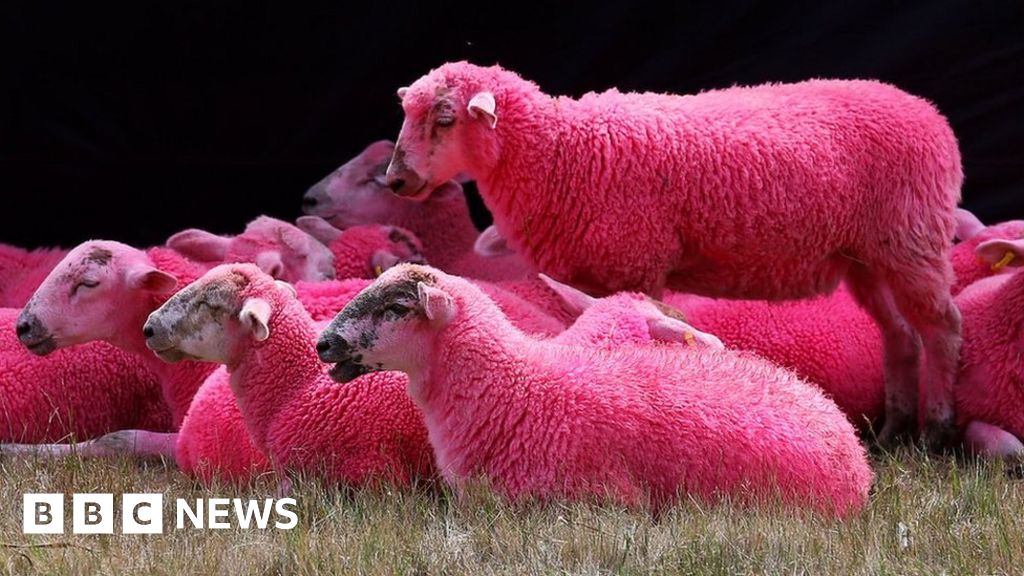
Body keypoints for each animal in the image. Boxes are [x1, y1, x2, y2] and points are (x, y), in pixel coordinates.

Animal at [384, 61, 964, 450]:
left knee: (941, 327)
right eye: (407, 114)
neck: (557, 150)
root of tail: (928, 113)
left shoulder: (637, 260)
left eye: (444, 118)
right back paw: (892, 433)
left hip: (912, 238)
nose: (395, 180)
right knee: (900, 335)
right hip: (870, 256)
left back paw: (934, 432)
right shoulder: (594, 272)